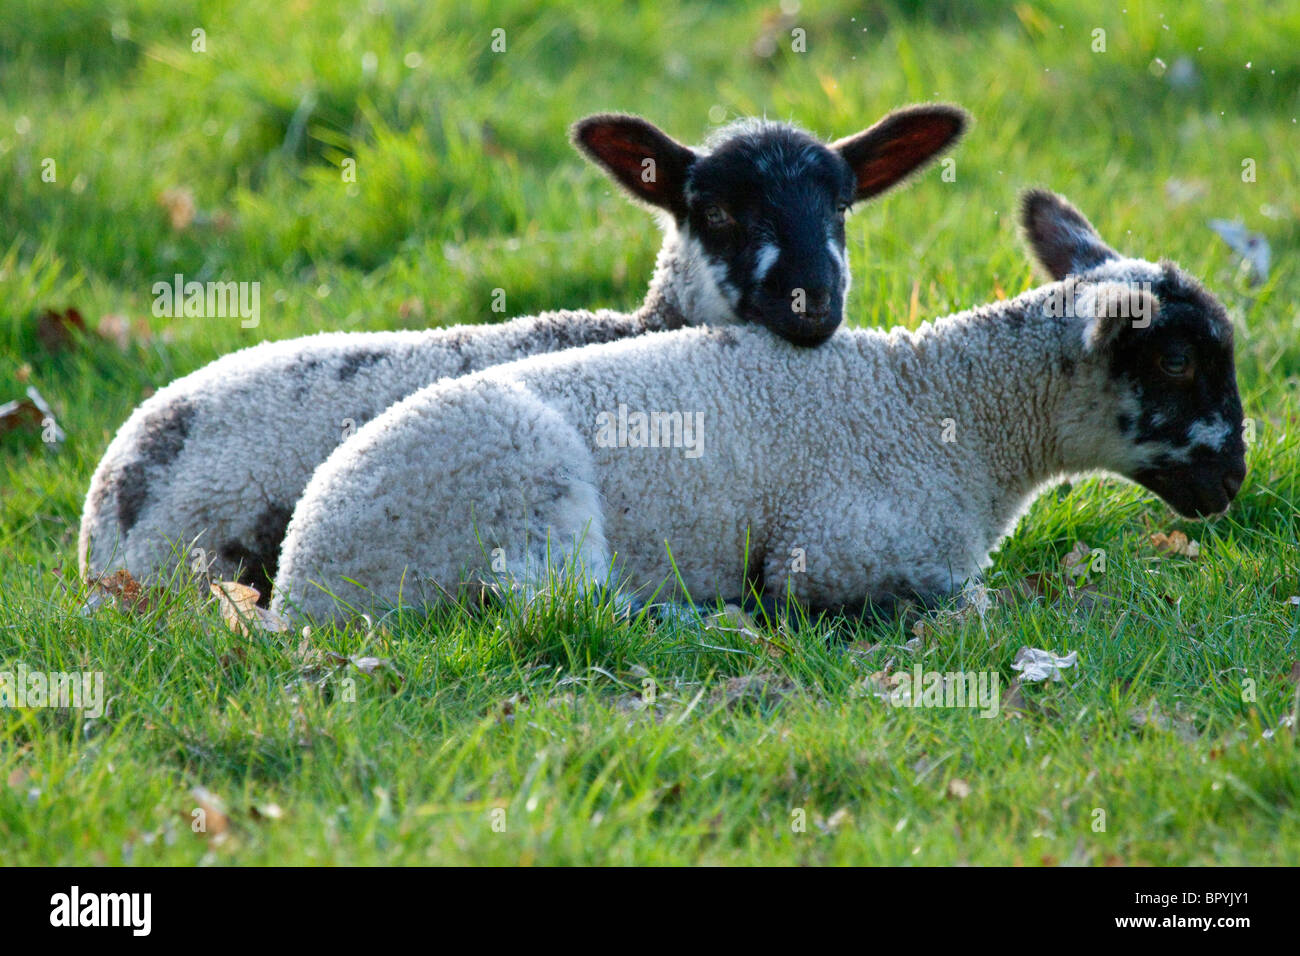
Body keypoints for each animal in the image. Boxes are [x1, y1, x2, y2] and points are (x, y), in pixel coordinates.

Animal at [271, 189, 1247, 623]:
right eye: (1175, 358)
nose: (1236, 477)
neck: (952, 406)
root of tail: (300, 582)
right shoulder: (841, 547)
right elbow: (963, 597)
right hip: (524, 481)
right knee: (556, 608)